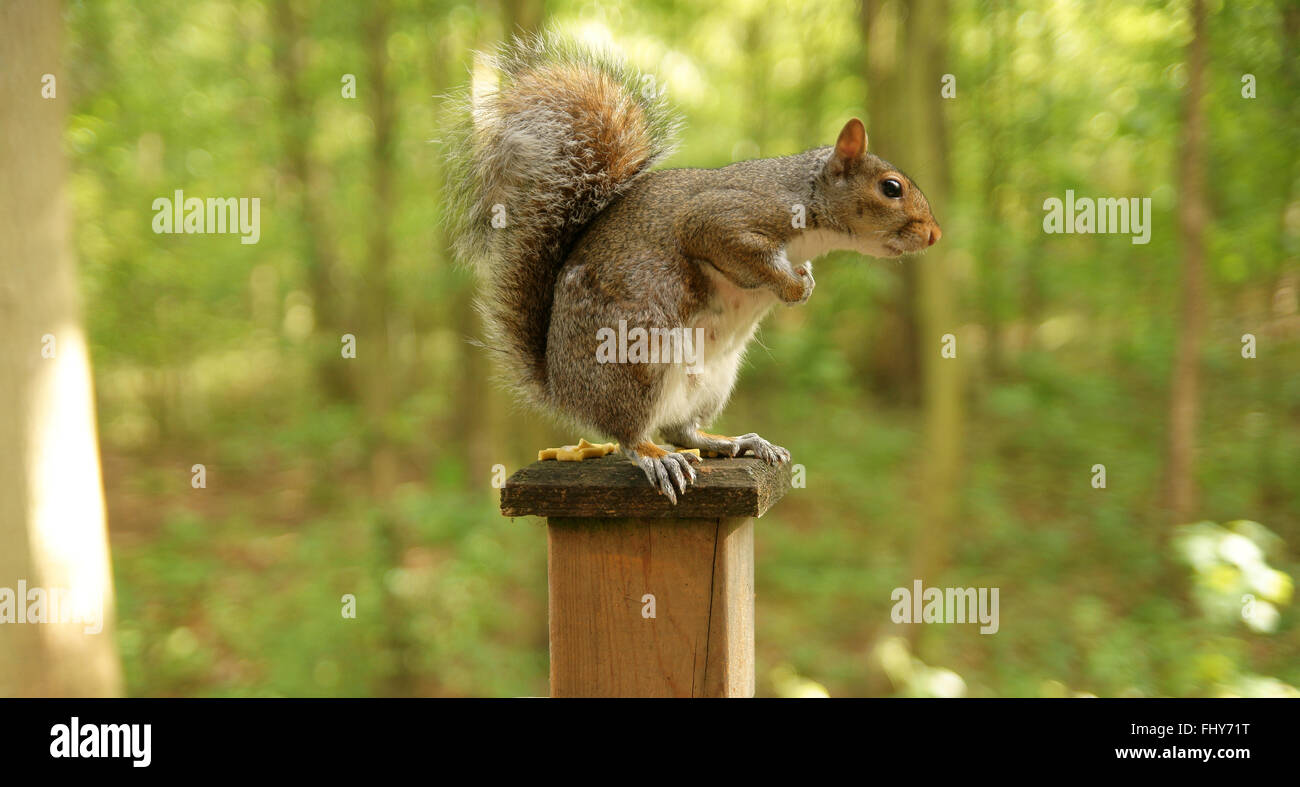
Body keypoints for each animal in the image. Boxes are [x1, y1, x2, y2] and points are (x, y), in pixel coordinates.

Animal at [446, 34, 941, 503]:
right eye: (891, 188)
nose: (934, 234)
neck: (807, 200)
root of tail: (562, 386)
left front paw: (806, 282)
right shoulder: (721, 219)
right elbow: (732, 247)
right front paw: (793, 288)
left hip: (713, 380)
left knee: (681, 430)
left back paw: (739, 442)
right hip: (636, 359)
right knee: (630, 435)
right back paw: (656, 458)